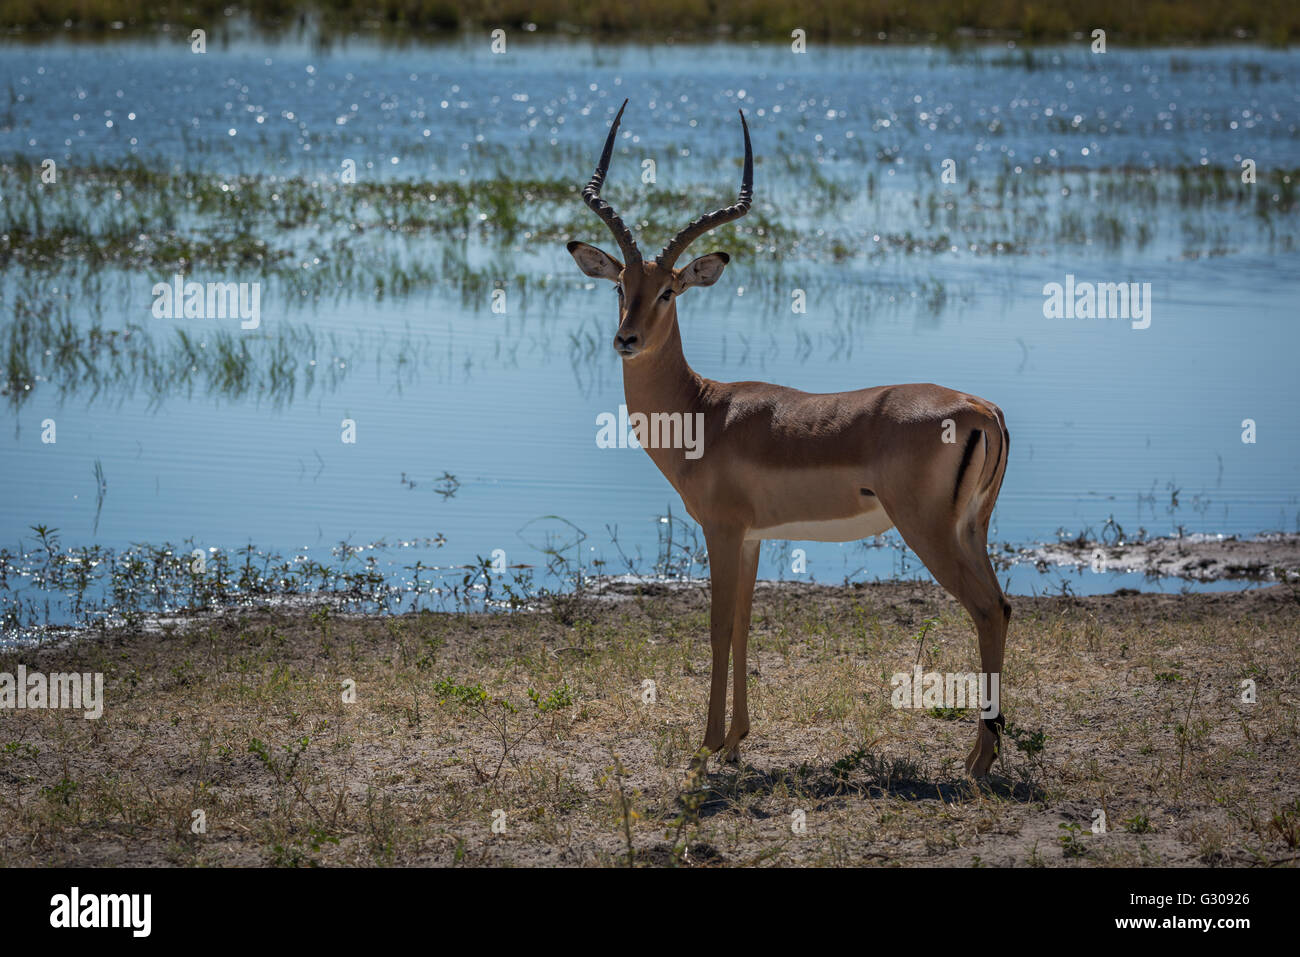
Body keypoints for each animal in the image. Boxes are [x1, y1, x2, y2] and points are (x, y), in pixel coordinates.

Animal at [567, 101, 1011, 777]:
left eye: (669, 289)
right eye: (621, 286)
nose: (626, 339)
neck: (702, 410)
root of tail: (981, 409)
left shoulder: (721, 530)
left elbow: (718, 626)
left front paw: (704, 748)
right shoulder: (752, 537)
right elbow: (745, 625)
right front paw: (736, 740)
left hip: (928, 531)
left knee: (985, 610)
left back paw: (977, 762)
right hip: (970, 530)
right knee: (1004, 607)